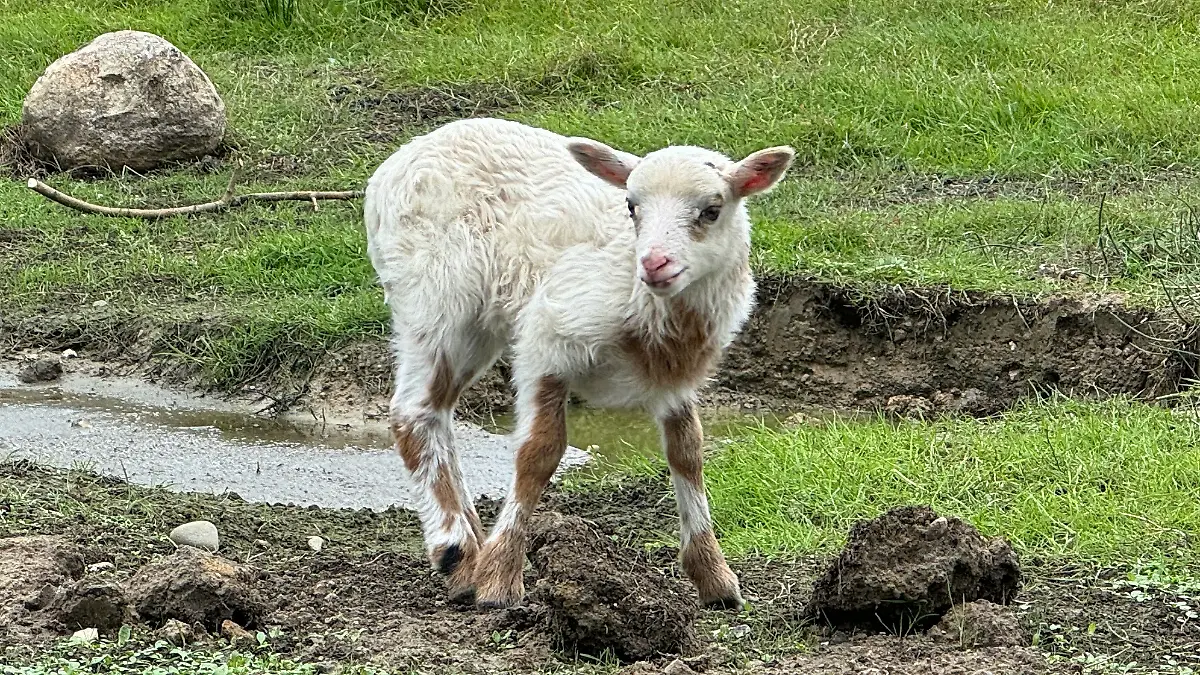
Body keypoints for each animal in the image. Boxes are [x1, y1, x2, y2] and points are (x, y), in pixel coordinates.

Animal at [364, 117, 794, 610]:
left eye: (712, 210)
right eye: (631, 206)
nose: (654, 262)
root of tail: (398, 161)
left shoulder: (675, 376)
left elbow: (687, 452)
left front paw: (714, 577)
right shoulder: (547, 341)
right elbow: (539, 452)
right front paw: (500, 579)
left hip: (474, 322)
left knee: (438, 411)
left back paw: (467, 552)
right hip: (436, 296)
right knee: (413, 411)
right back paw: (455, 547)